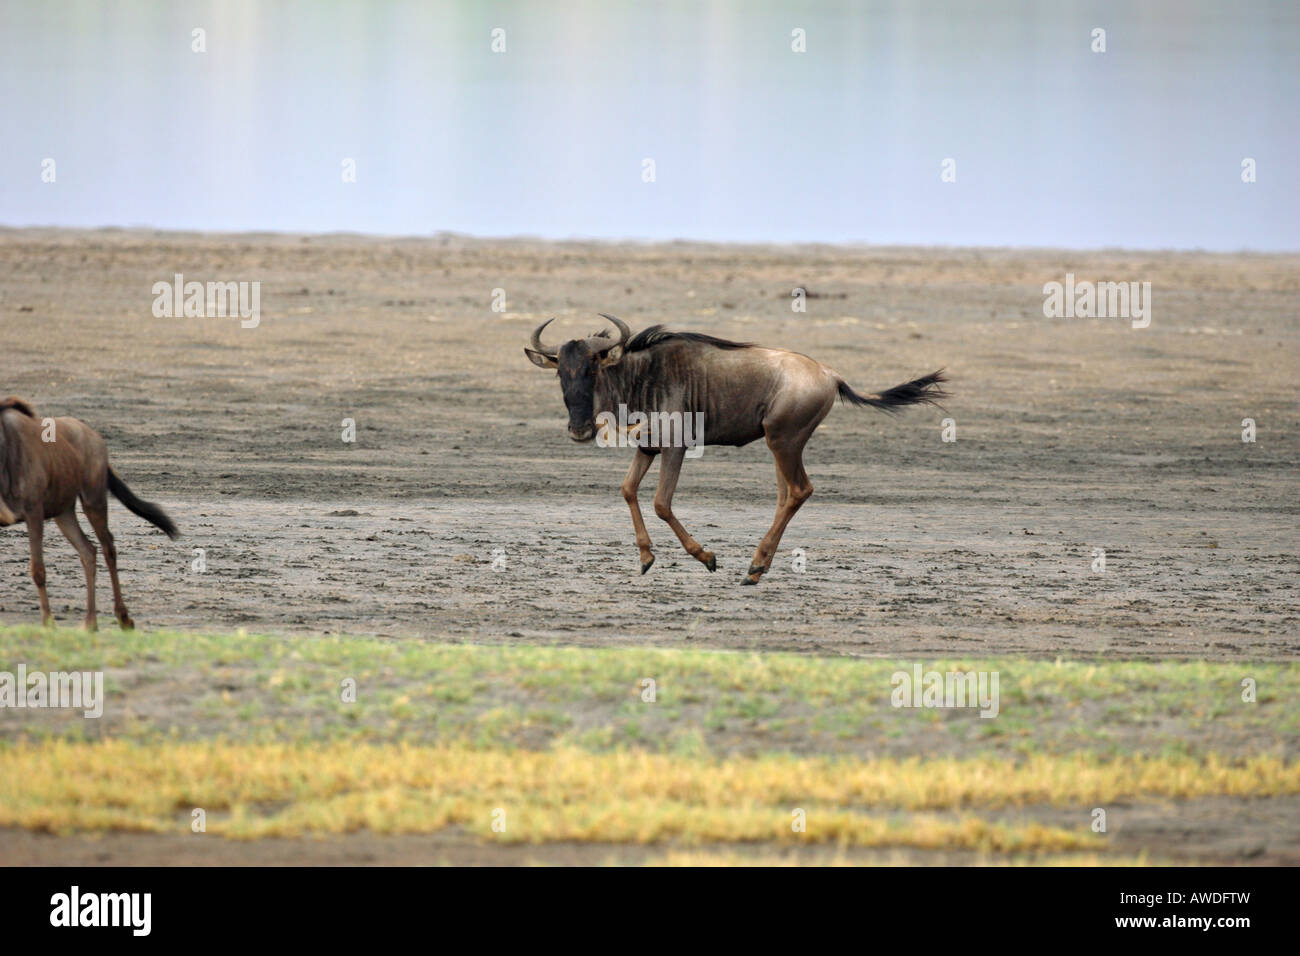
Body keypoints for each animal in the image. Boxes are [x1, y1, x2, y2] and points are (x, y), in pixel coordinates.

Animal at [0, 397, 178, 629]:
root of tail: (94, 436)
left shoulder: (34, 513)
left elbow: (38, 570)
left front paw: (49, 624)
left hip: (93, 501)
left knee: (108, 548)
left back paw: (122, 619)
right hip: (64, 512)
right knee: (88, 550)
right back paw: (90, 624)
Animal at [525, 315, 947, 584]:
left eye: (592, 368)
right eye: (561, 371)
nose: (579, 429)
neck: (642, 377)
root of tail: (831, 375)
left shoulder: (676, 448)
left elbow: (661, 503)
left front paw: (707, 557)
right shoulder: (648, 447)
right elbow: (628, 491)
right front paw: (646, 558)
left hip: (784, 441)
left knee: (799, 490)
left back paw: (755, 568)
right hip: (781, 446)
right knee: (786, 495)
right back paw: (759, 568)